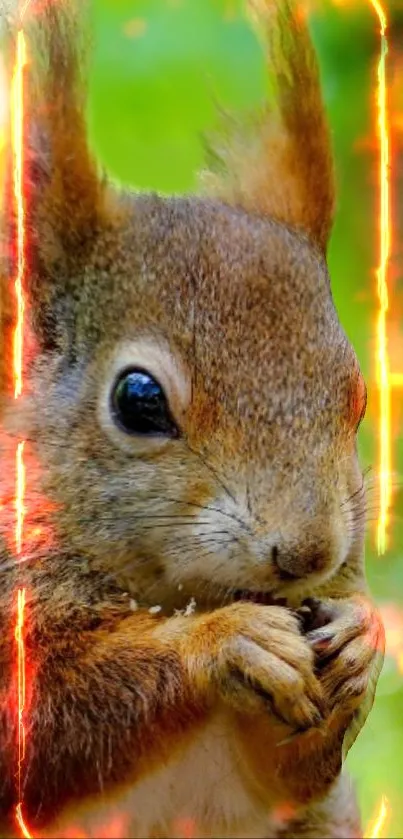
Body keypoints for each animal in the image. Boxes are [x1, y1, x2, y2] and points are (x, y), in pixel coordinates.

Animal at [0, 1, 385, 837]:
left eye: (359, 396)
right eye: (138, 400)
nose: (307, 552)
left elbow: (286, 776)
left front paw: (363, 637)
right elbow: (38, 728)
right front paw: (222, 641)